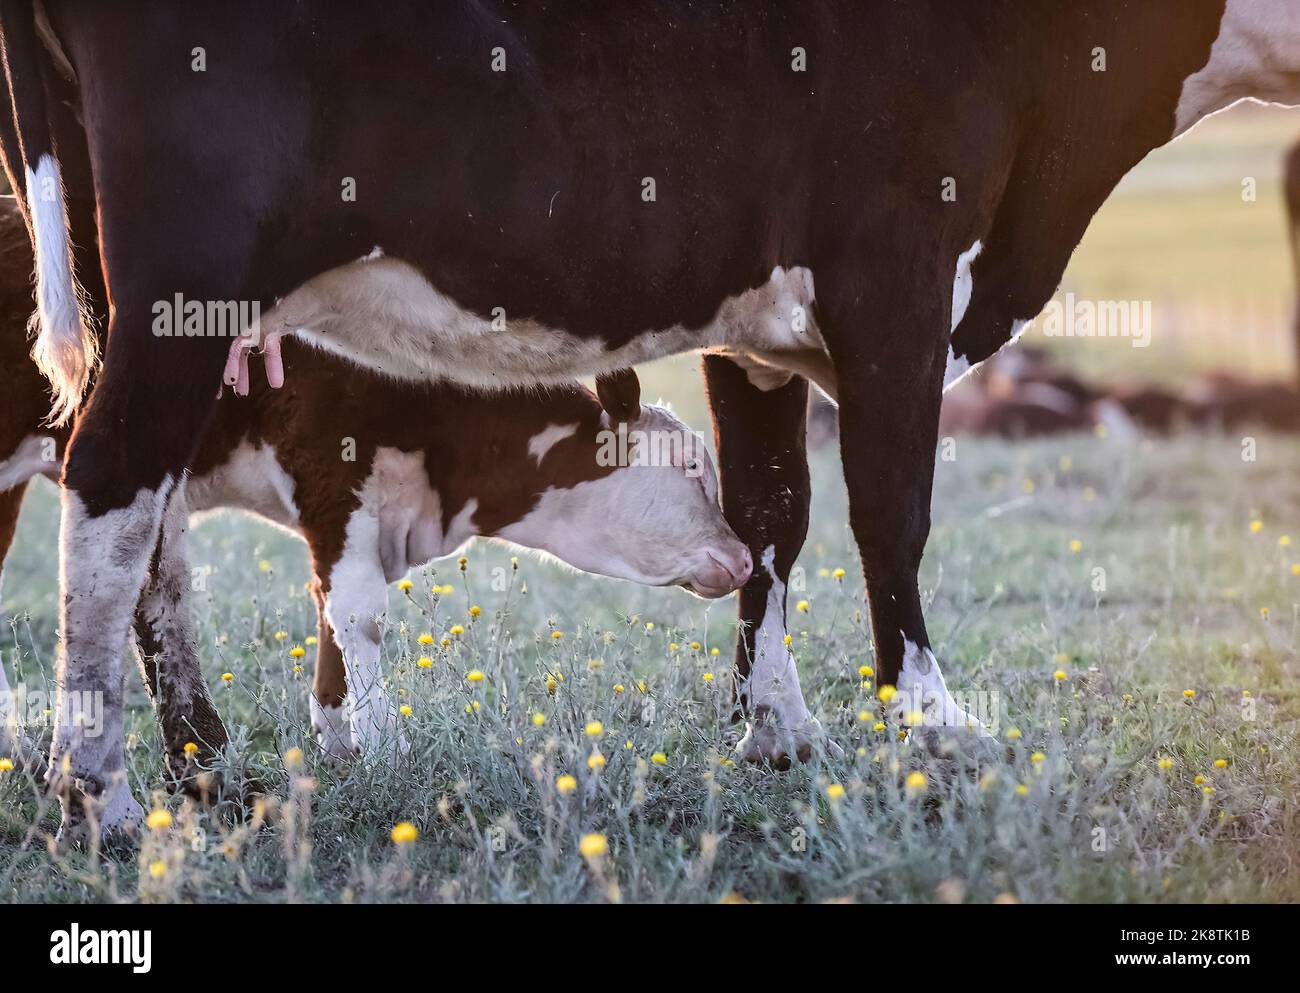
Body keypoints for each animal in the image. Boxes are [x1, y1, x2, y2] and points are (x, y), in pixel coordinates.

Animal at [0, 193, 749, 774]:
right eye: (691, 465)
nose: (743, 558)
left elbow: (330, 611)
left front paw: (339, 744)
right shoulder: (333, 479)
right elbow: (358, 612)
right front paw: (387, 749)